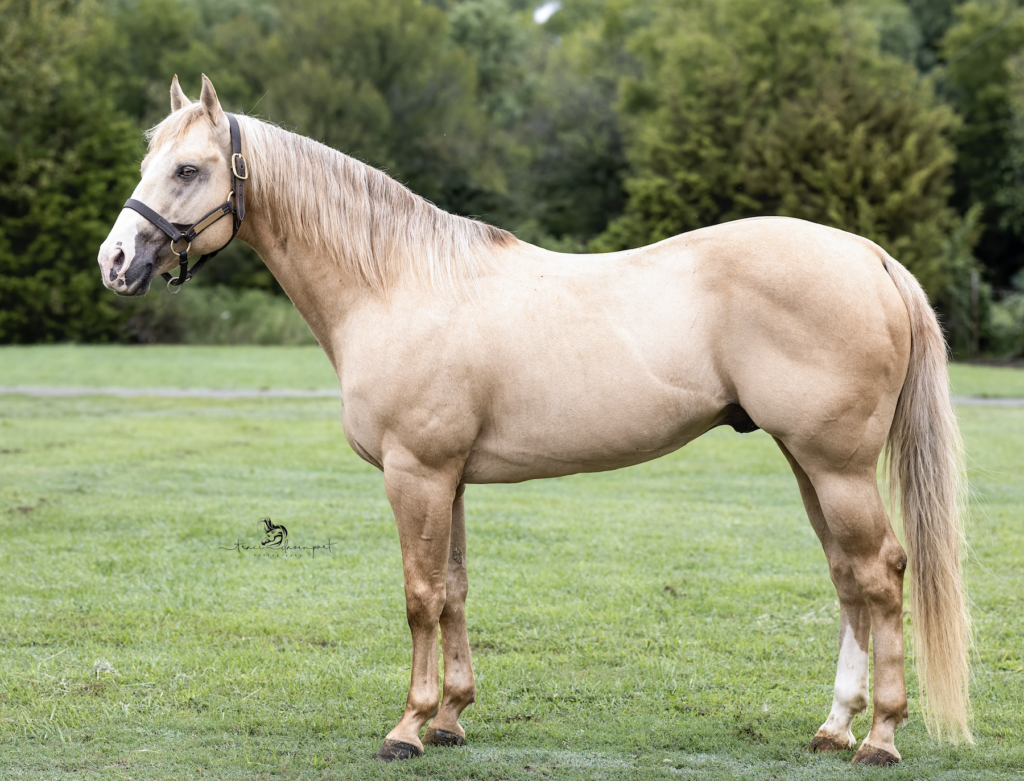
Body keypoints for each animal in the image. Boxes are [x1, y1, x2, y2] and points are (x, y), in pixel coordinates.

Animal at [97, 75, 971, 765]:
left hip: (837, 466)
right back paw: (834, 726)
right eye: (148, 162)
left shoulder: (416, 473)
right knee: (847, 578)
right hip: (807, 464)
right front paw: (451, 717)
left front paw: (407, 726)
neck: (396, 283)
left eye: (187, 168)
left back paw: (880, 738)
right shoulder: (447, 479)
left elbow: (419, 594)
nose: (115, 261)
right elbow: (453, 589)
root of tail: (868, 256)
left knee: (881, 573)